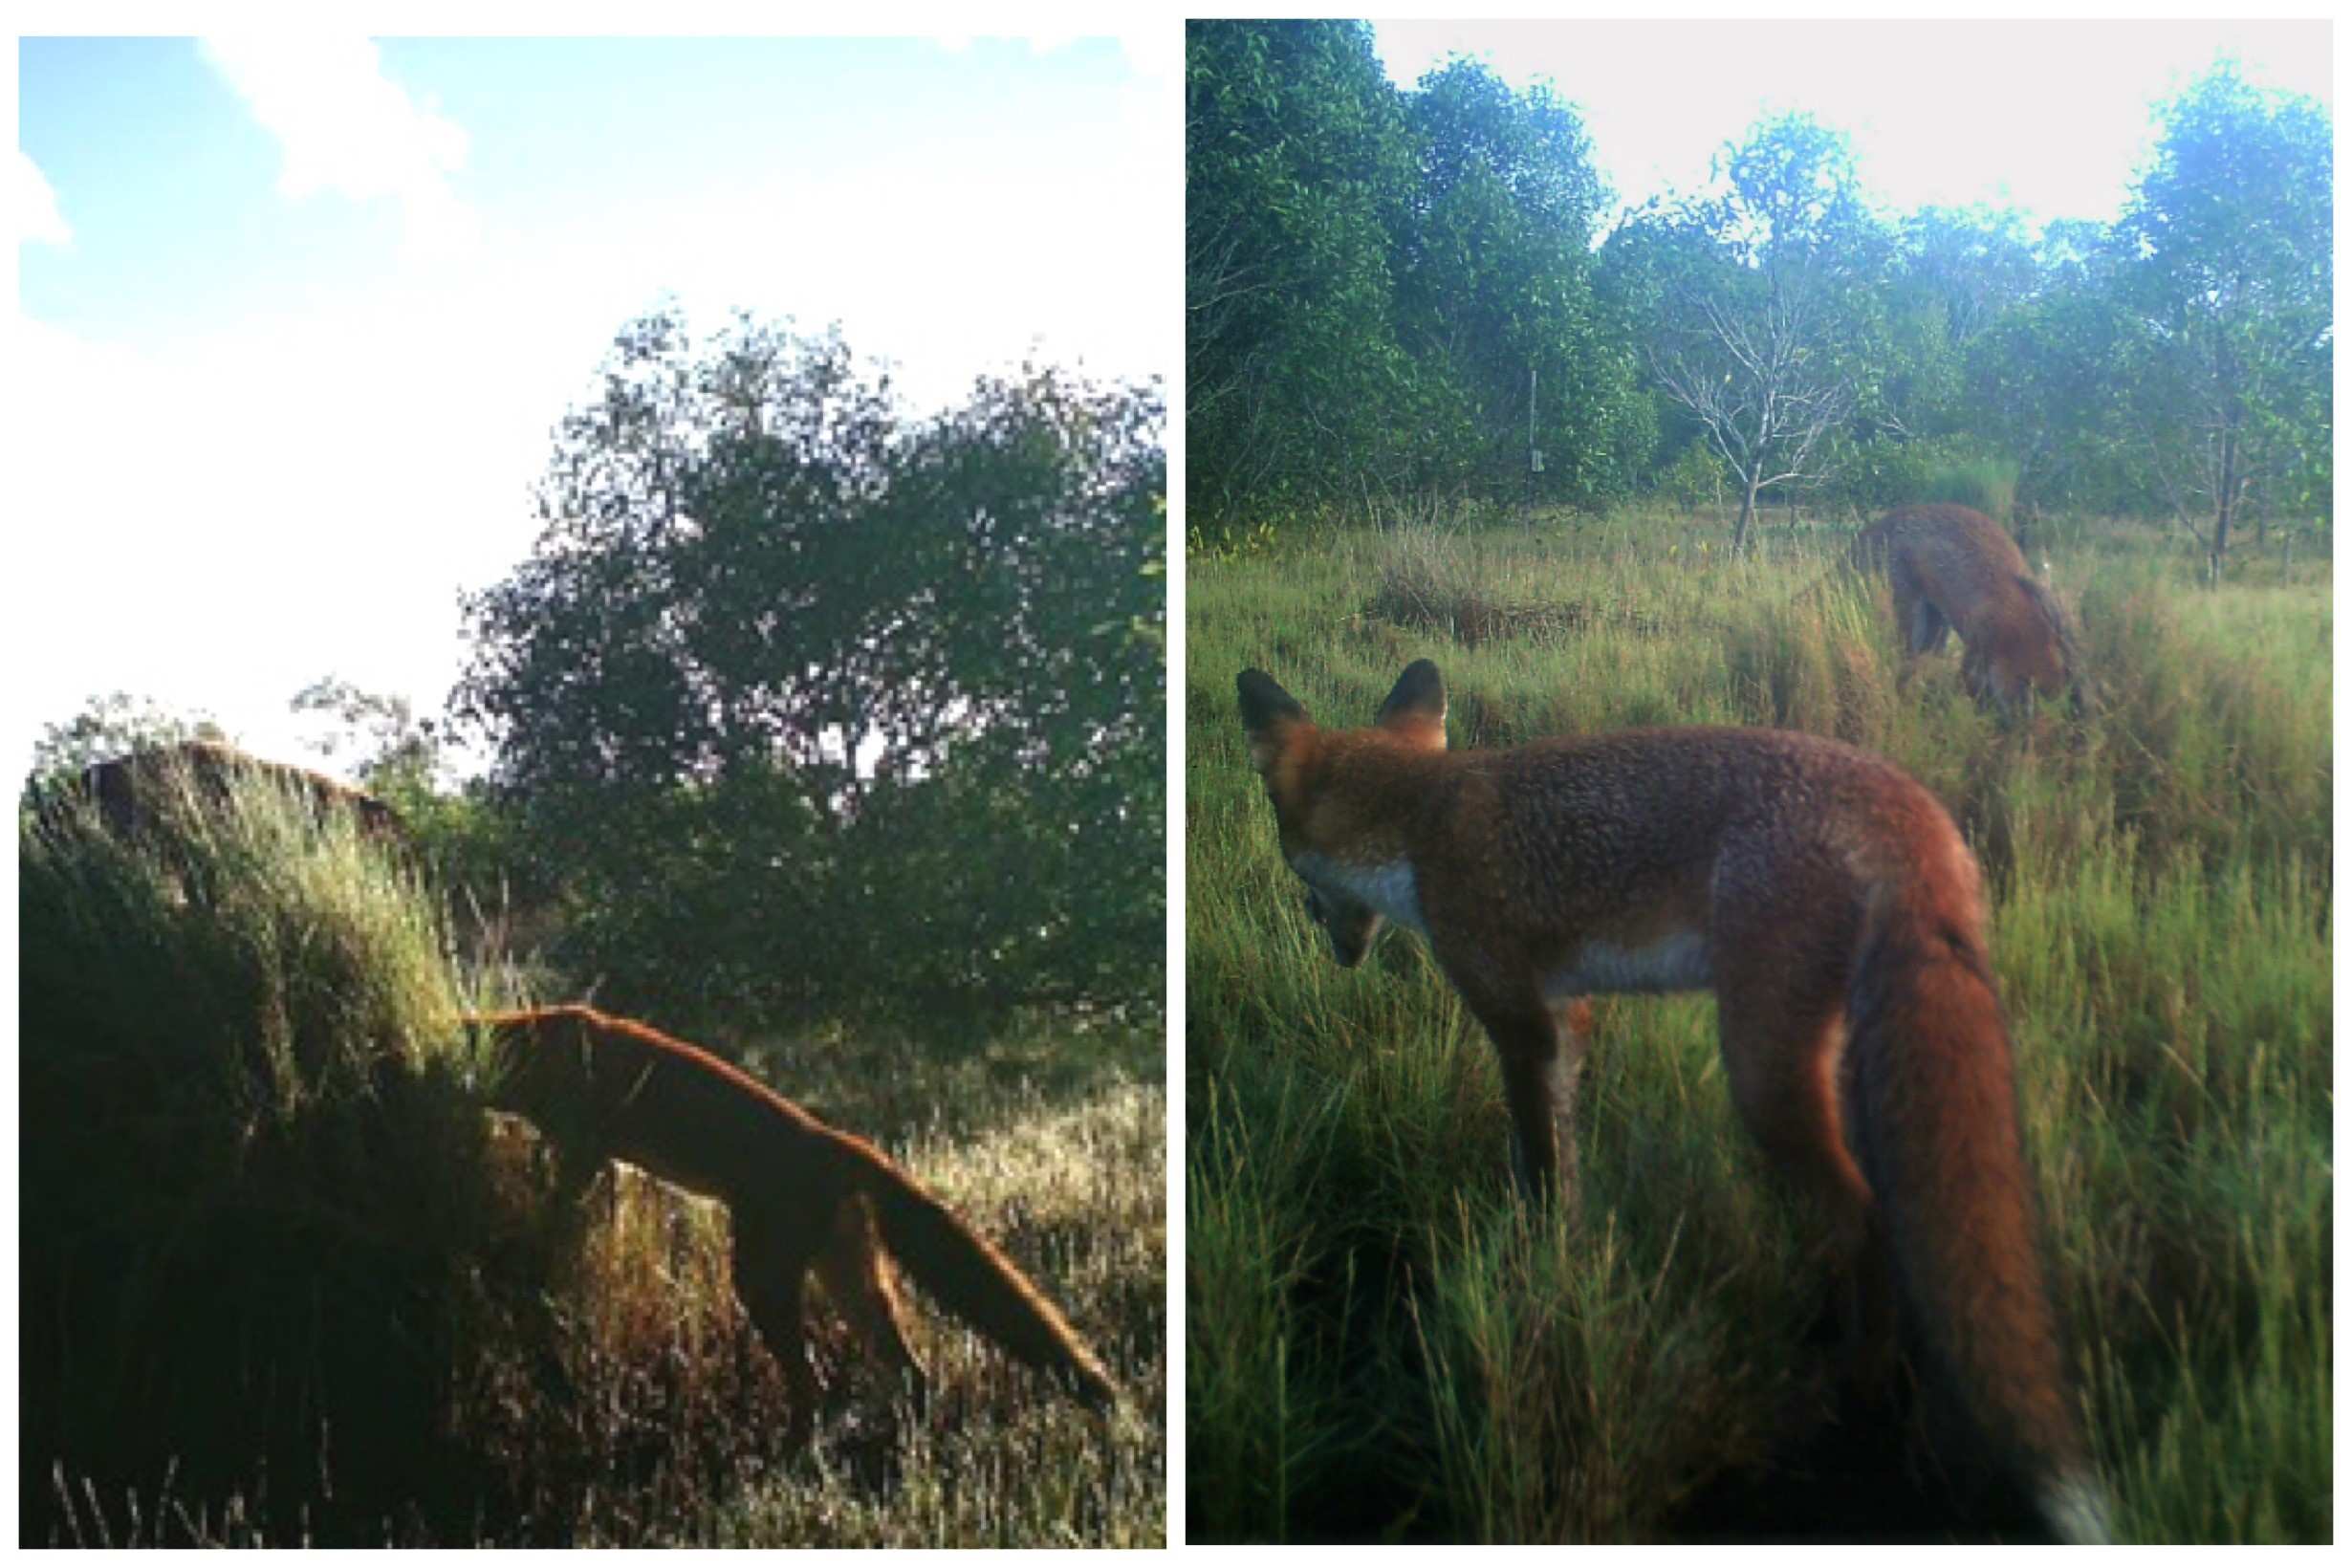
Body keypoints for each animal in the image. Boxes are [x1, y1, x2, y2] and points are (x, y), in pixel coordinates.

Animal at [468, 1005, 1120, 1445]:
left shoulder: (584, 1144)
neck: (535, 1048)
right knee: (910, 1374)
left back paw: (794, 1453)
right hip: (849, 1280)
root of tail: (841, 1142)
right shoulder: (596, 1156)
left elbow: (560, 1201)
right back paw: (899, 1440)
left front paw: (532, 1239)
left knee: (814, 1385)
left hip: (761, 1280)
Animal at [1236, 659, 2111, 1544]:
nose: (1324, 935)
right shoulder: (1568, 1018)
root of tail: (1907, 800)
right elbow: (1558, 1172)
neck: (1421, 821)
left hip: (1762, 1079)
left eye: (1296, 869)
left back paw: (1857, 1392)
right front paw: (1563, 1271)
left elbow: (1540, 1175)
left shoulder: (1518, 1025)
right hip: (1847, 1073)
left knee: (1868, 1220)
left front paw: (1540, 1288)